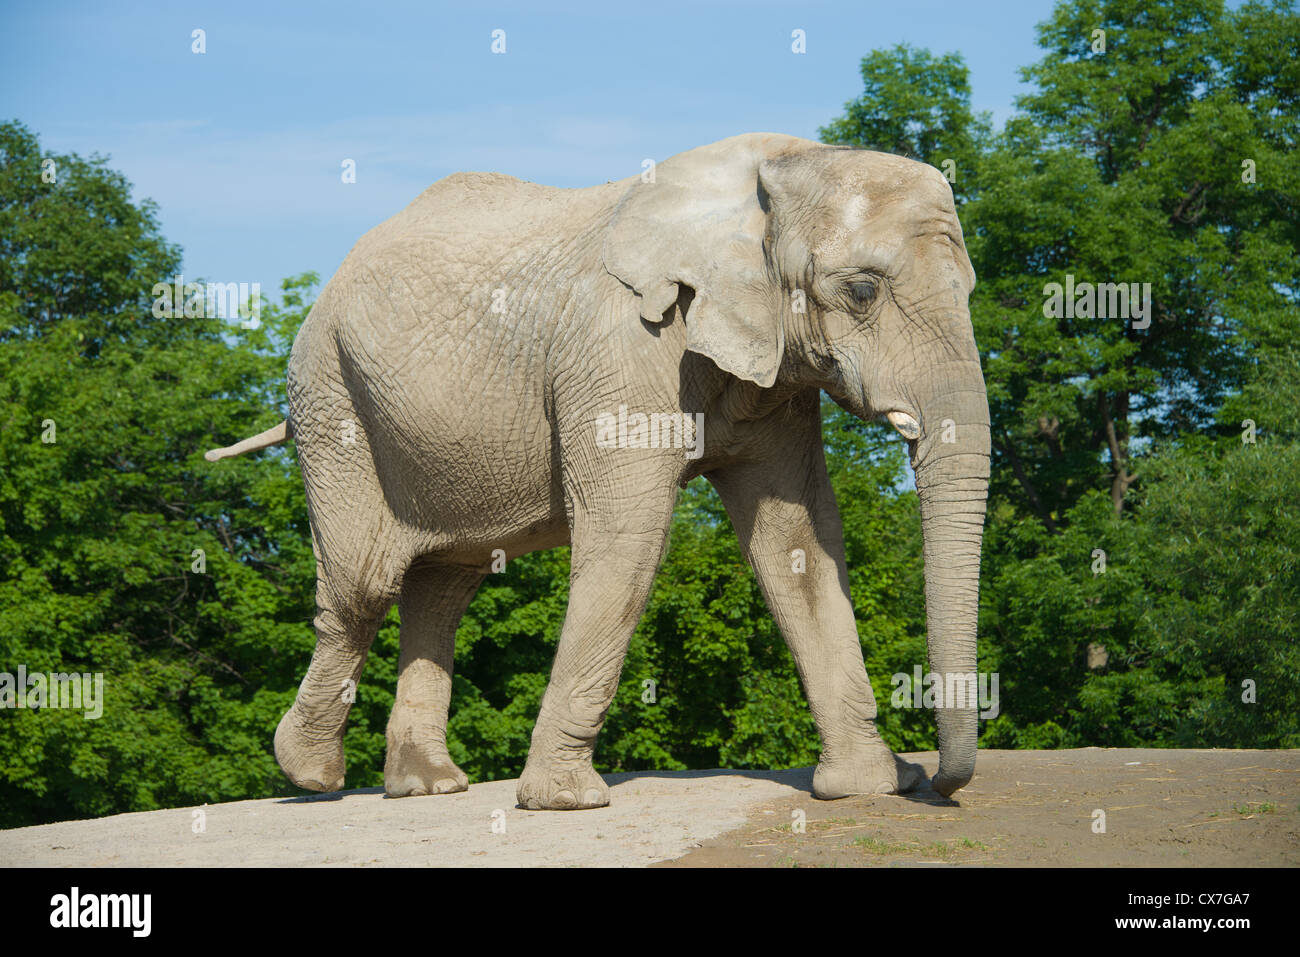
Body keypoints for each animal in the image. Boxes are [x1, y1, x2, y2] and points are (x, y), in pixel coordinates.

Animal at [205, 132, 990, 810]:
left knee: (444, 584)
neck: (779, 166)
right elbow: (628, 534)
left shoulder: (773, 370)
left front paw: (865, 785)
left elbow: (796, 539)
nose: (935, 783)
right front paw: (565, 802)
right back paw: (310, 773)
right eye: (862, 291)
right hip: (331, 395)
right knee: (364, 585)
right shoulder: (622, 342)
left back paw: (426, 786)